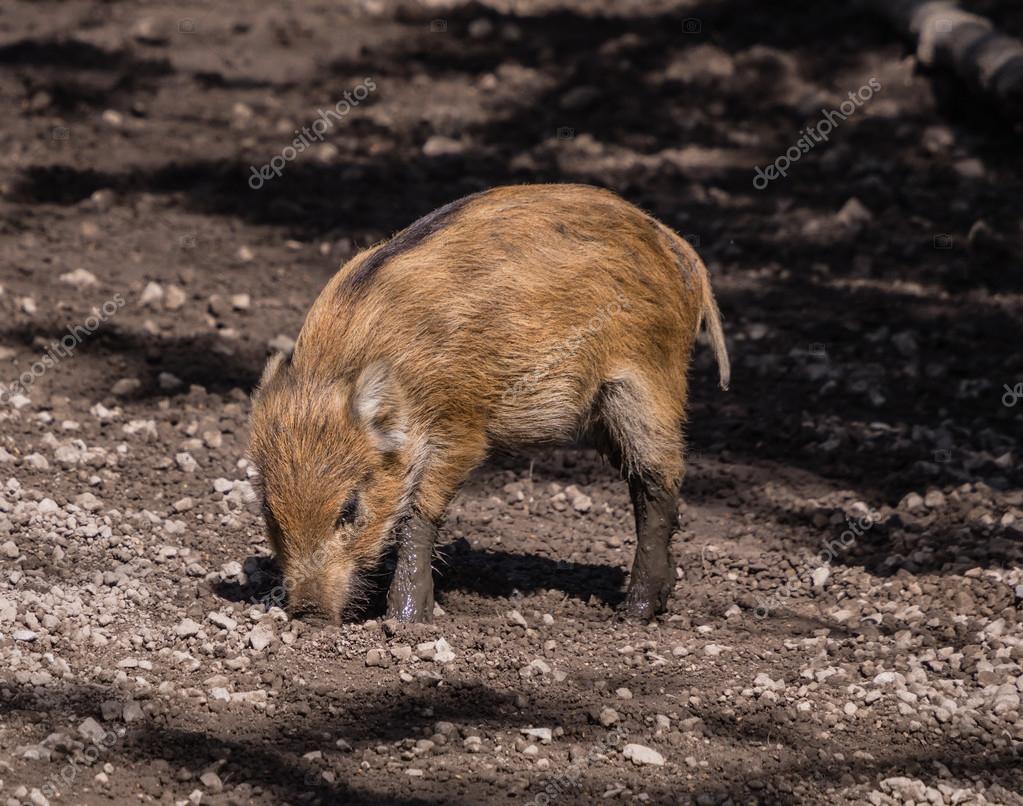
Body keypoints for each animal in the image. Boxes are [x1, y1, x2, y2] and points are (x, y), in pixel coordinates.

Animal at [248, 183, 729, 623]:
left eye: (349, 509)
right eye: (269, 511)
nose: (309, 613)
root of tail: (679, 249)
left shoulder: (461, 428)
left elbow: (417, 515)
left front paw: (406, 621)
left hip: (646, 385)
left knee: (659, 484)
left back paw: (632, 614)